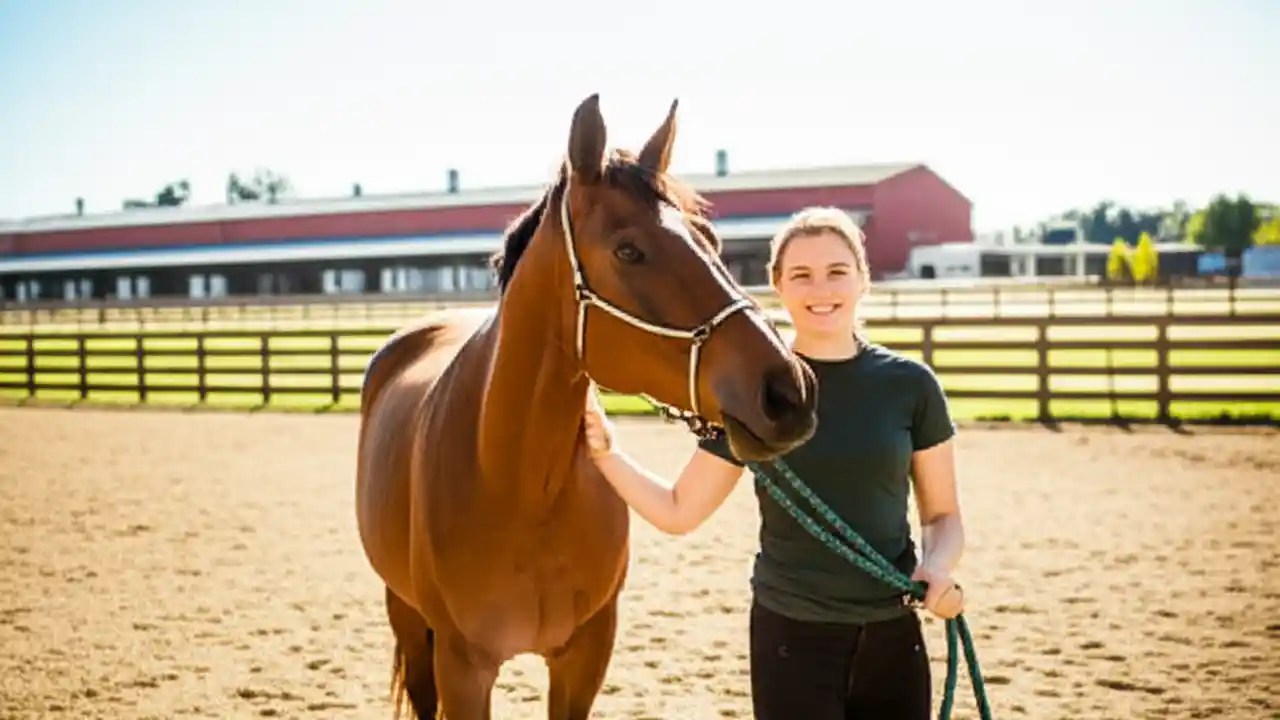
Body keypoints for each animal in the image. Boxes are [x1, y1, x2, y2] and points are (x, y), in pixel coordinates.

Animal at [354, 94, 819, 720]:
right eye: (628, 249)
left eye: (712, 241)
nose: (789, 391)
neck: (521, 486)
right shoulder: (463, 667)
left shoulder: (586, 657)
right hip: (405, 616)